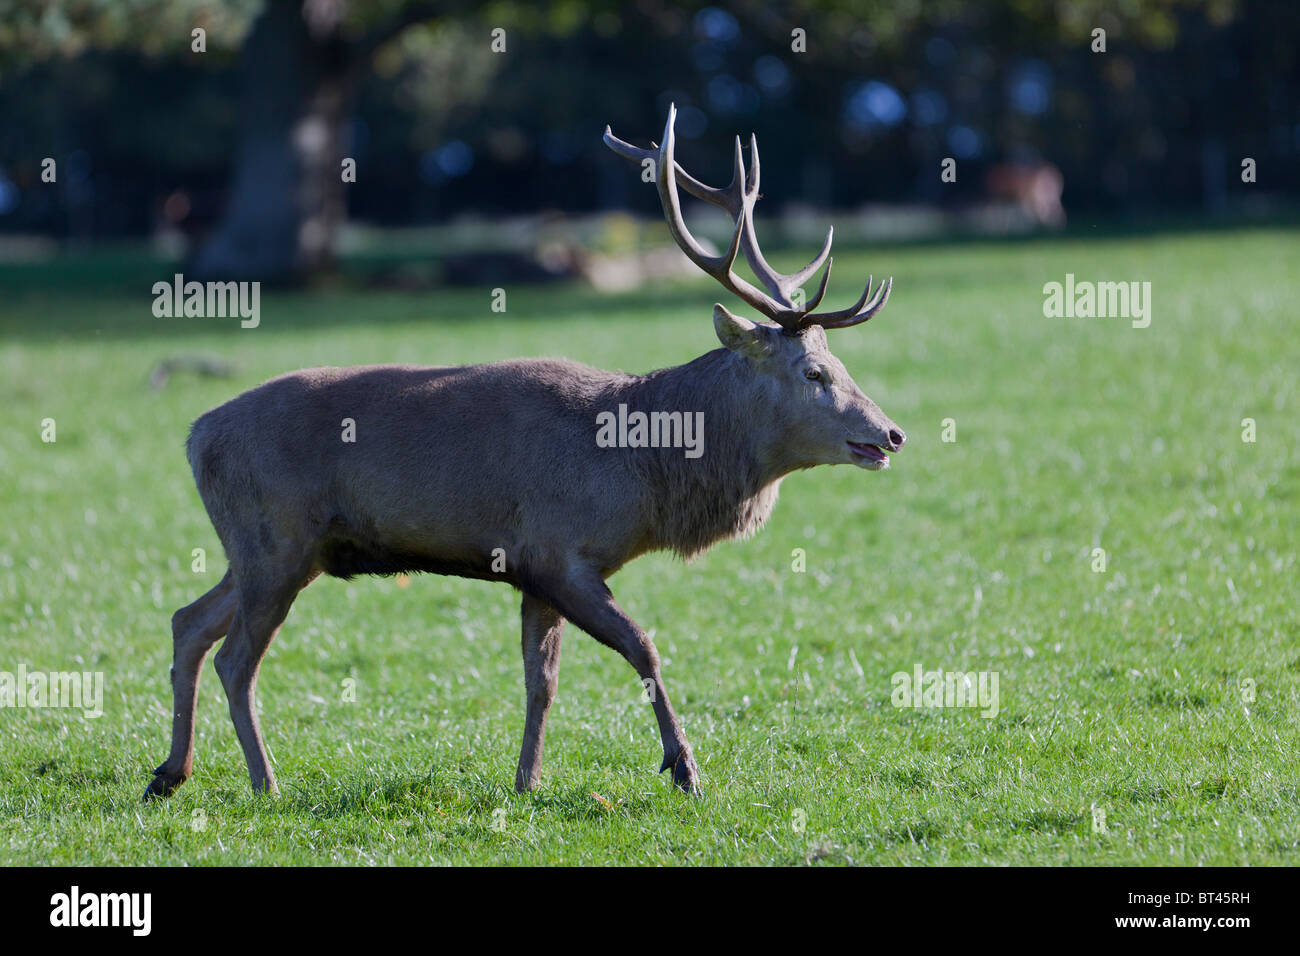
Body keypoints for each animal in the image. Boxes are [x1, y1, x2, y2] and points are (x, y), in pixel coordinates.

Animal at [144, 105, 906, 801]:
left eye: (839, 363)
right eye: (814, 373)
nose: (891, 433)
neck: (644, 468)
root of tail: (194, 435)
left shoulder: (535, 573)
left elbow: (542, 680)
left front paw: (526, 780)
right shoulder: (558, 549)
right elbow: (644, 645)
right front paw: (685, 768)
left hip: (274, 550)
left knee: (188, 624)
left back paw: (169, 774)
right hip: (275, 538)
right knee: (236, 658)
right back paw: (264, 781)